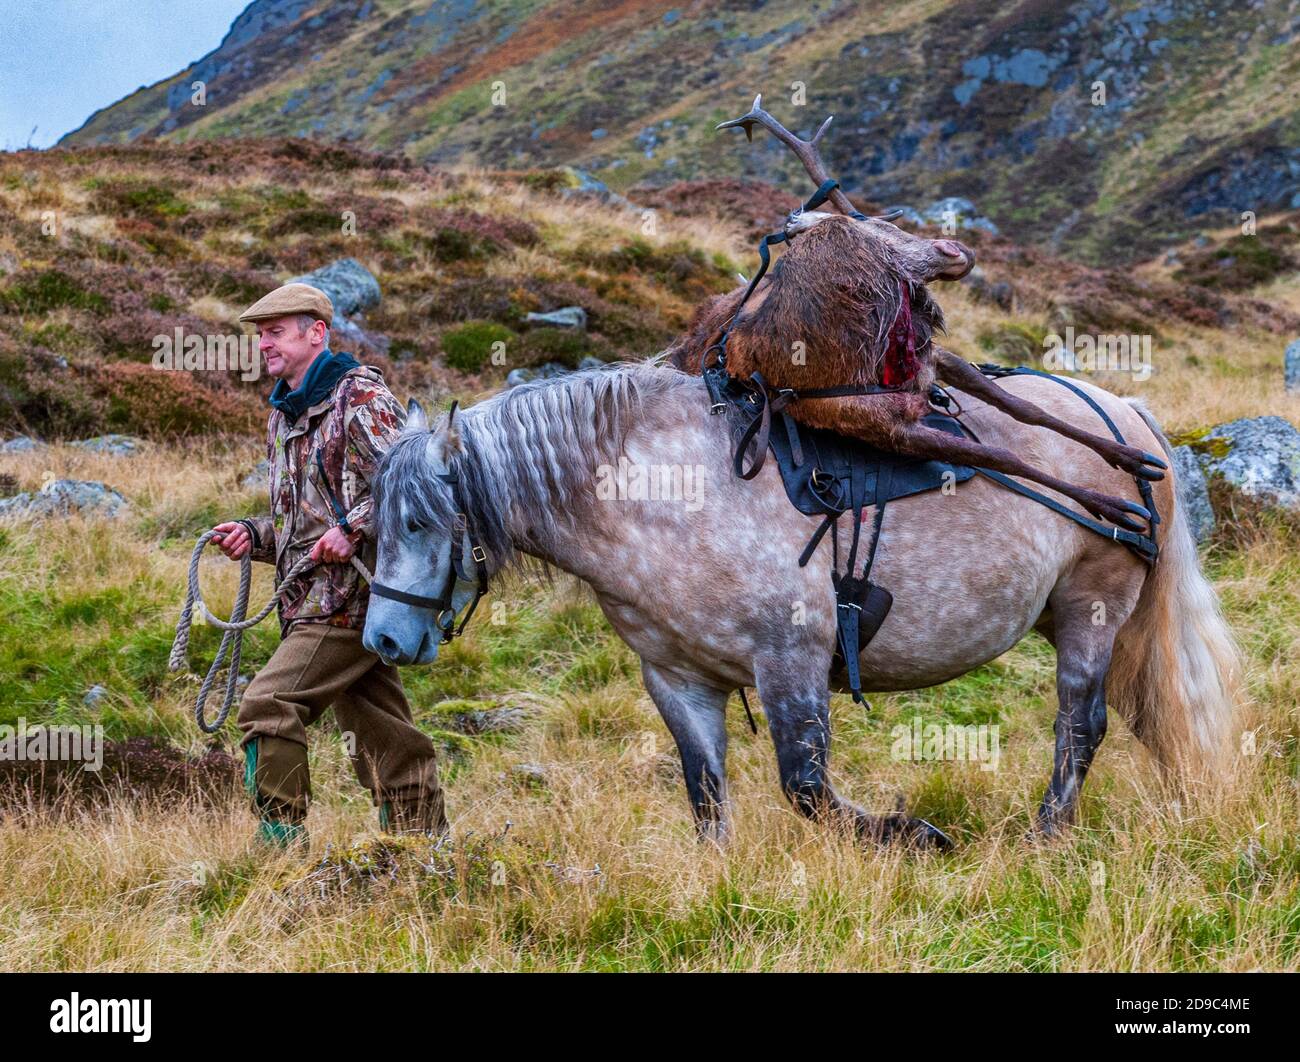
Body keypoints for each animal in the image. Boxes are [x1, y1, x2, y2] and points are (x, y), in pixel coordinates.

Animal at [361, 362, 1239, 847]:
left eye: (420, 521)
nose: (385, 640)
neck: (662, 493)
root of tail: (1120, 413)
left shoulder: (791, 659)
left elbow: (807, 788)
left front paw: (914, 836)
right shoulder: (677, 681)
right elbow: (707, 793)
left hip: (1093, 606)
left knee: (1079, 726)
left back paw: (1048, 834)